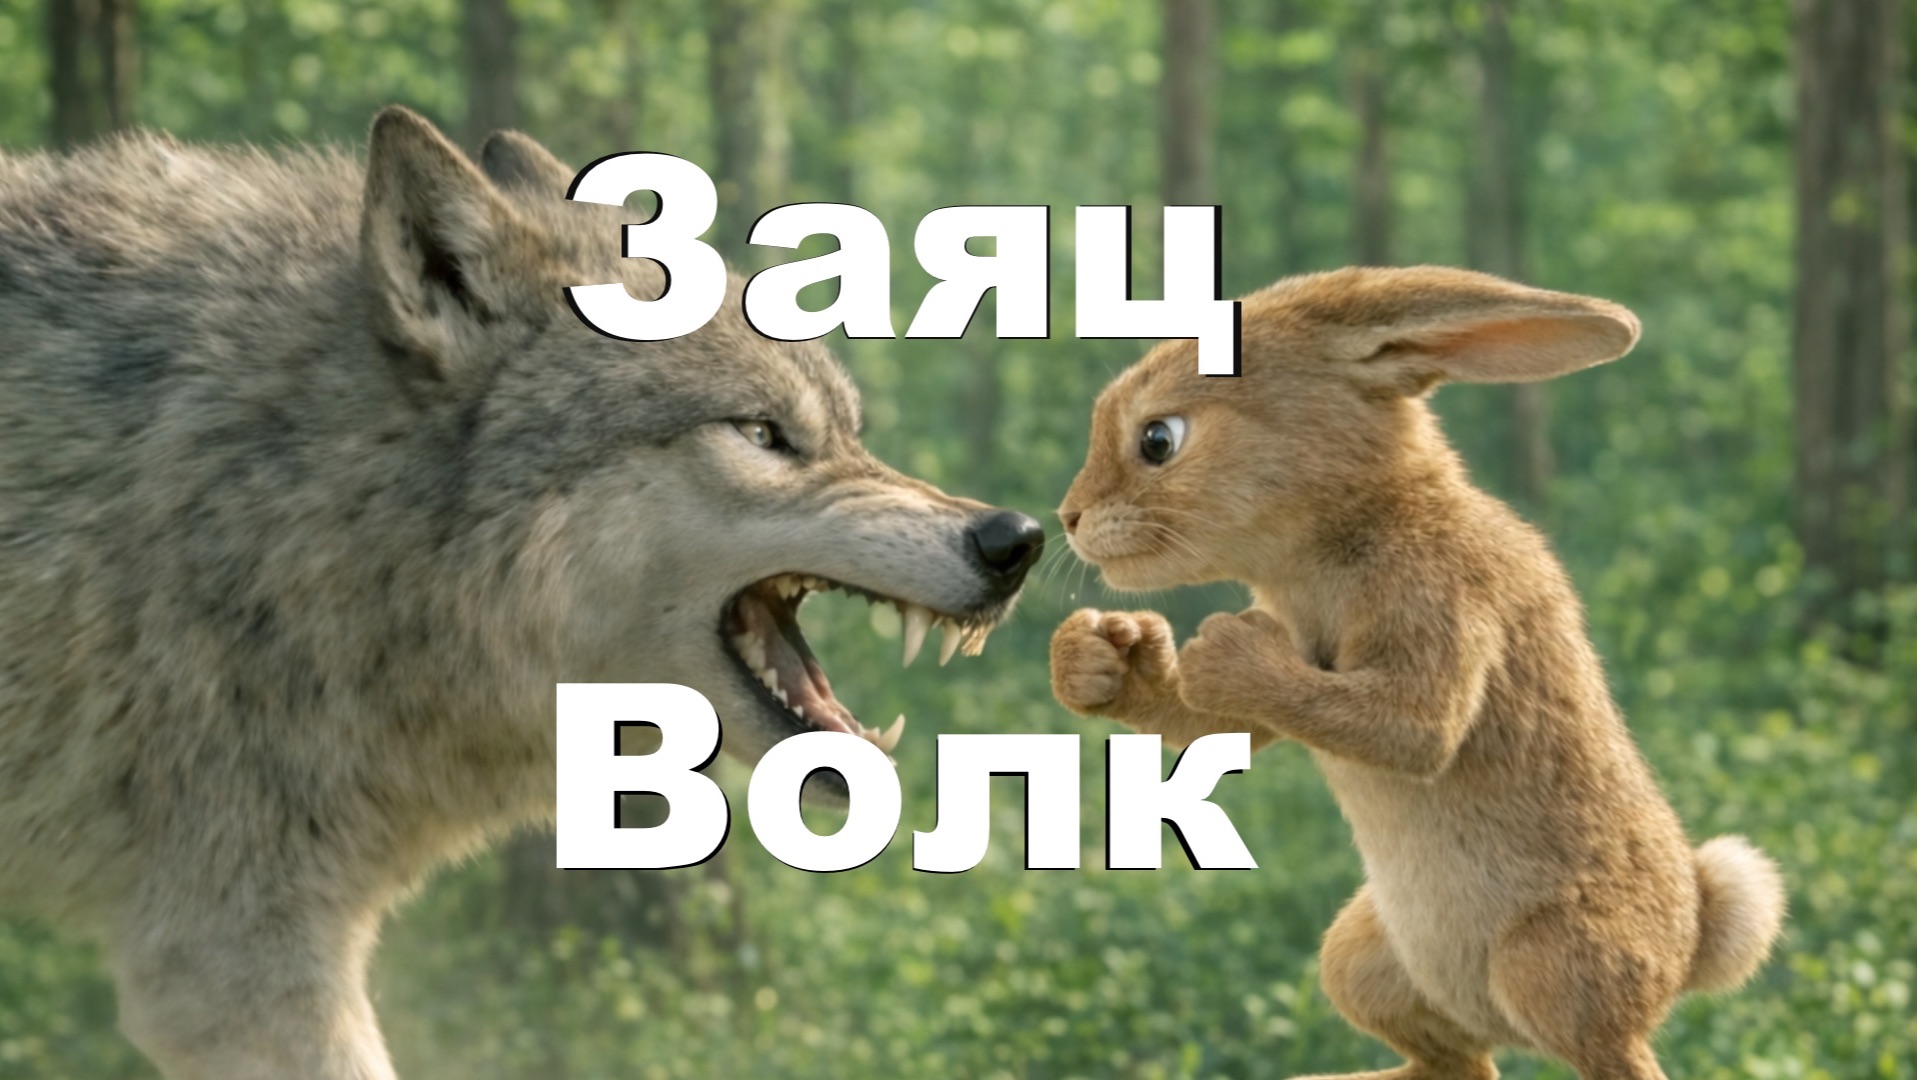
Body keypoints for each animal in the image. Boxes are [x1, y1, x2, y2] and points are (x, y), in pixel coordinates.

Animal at [1049, 266, 1785, 1080]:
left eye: (1158, 439)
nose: (1068, 517)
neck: (1362, 523)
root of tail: (1693, 943)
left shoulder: (1438, 599)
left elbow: (1413, 731)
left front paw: (1226, 648)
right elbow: (1208, 723)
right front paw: (1097, 658)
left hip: (1552, 967)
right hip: (1359, 956)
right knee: (1463, 1064)